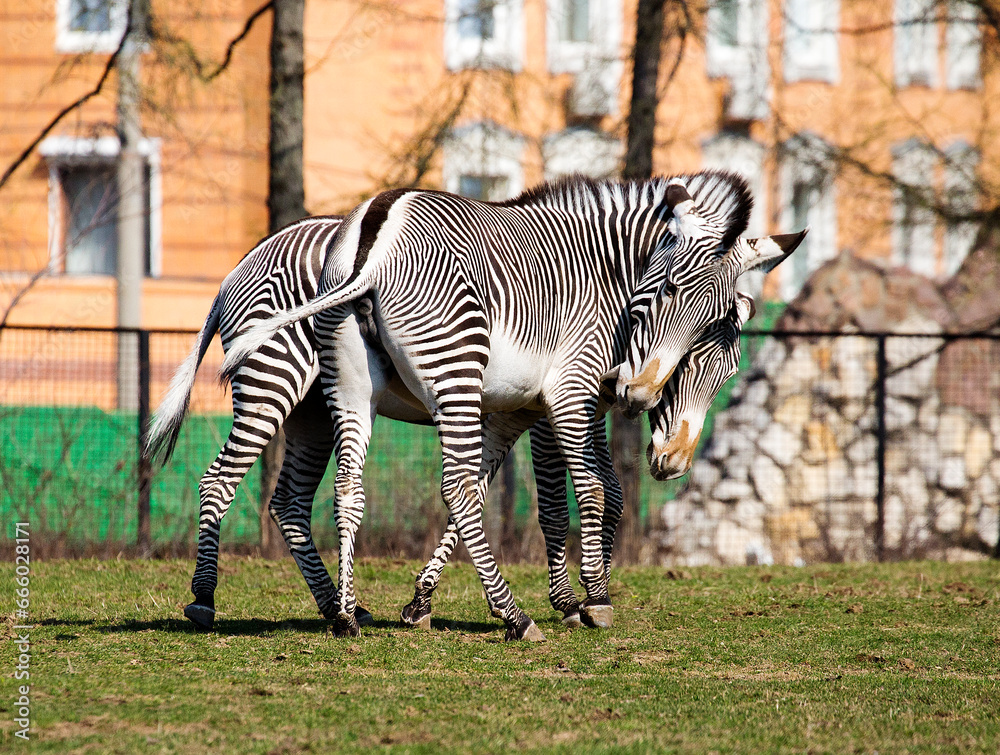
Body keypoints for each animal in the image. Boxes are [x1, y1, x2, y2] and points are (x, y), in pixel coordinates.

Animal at [220, 172, 802, 641]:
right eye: (666, 294)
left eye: (725, 368)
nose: (673, 462)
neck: (609, 279)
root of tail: (372, 240)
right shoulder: (565, 395)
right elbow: (581, 497)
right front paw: (586, 600)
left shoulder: (527, 410)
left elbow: (521, 491)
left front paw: (420, 602)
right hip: (375, 377)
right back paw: (515, 618)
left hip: (341, 394)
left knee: (341, 489)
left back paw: (345, 614)